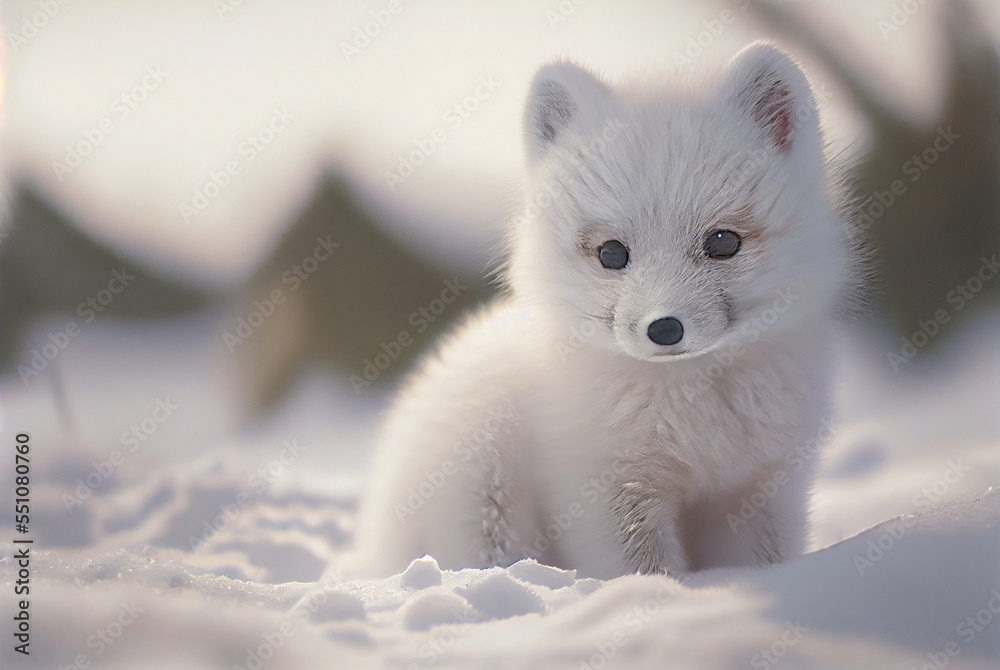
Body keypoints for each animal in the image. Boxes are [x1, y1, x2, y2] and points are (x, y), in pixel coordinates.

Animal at [346, 43, 861, 580]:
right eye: (611, 253)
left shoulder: (761, 489)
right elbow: (641, 572)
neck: (695, 420)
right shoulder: (603, 495)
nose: (664, 328)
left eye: (723, 242)